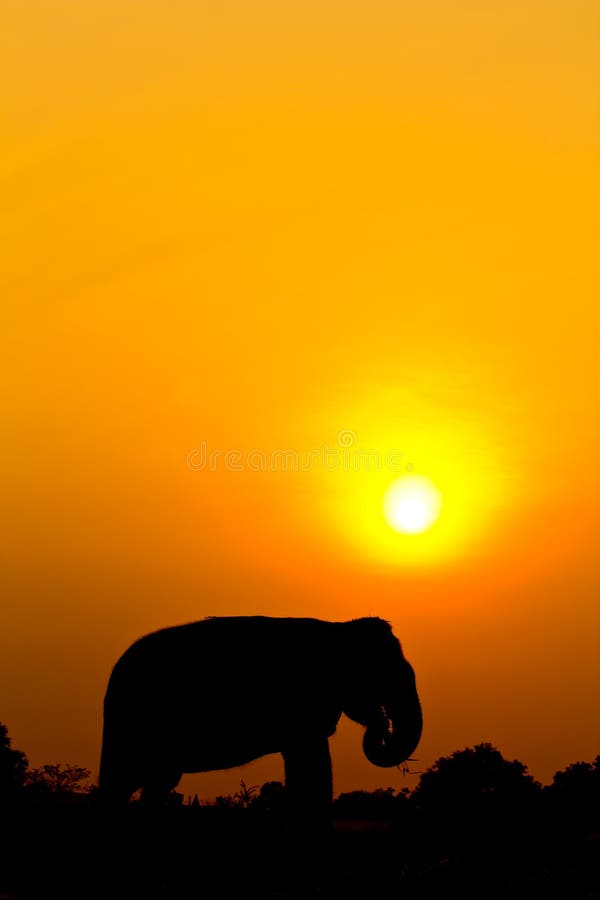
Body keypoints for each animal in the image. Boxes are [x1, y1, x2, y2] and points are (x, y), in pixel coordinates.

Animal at [98, 615, 422, 817]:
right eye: (387, 675)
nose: (383, 724)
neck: (338, 631)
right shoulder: (302, 707)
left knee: (155, 784)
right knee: (120, 784)